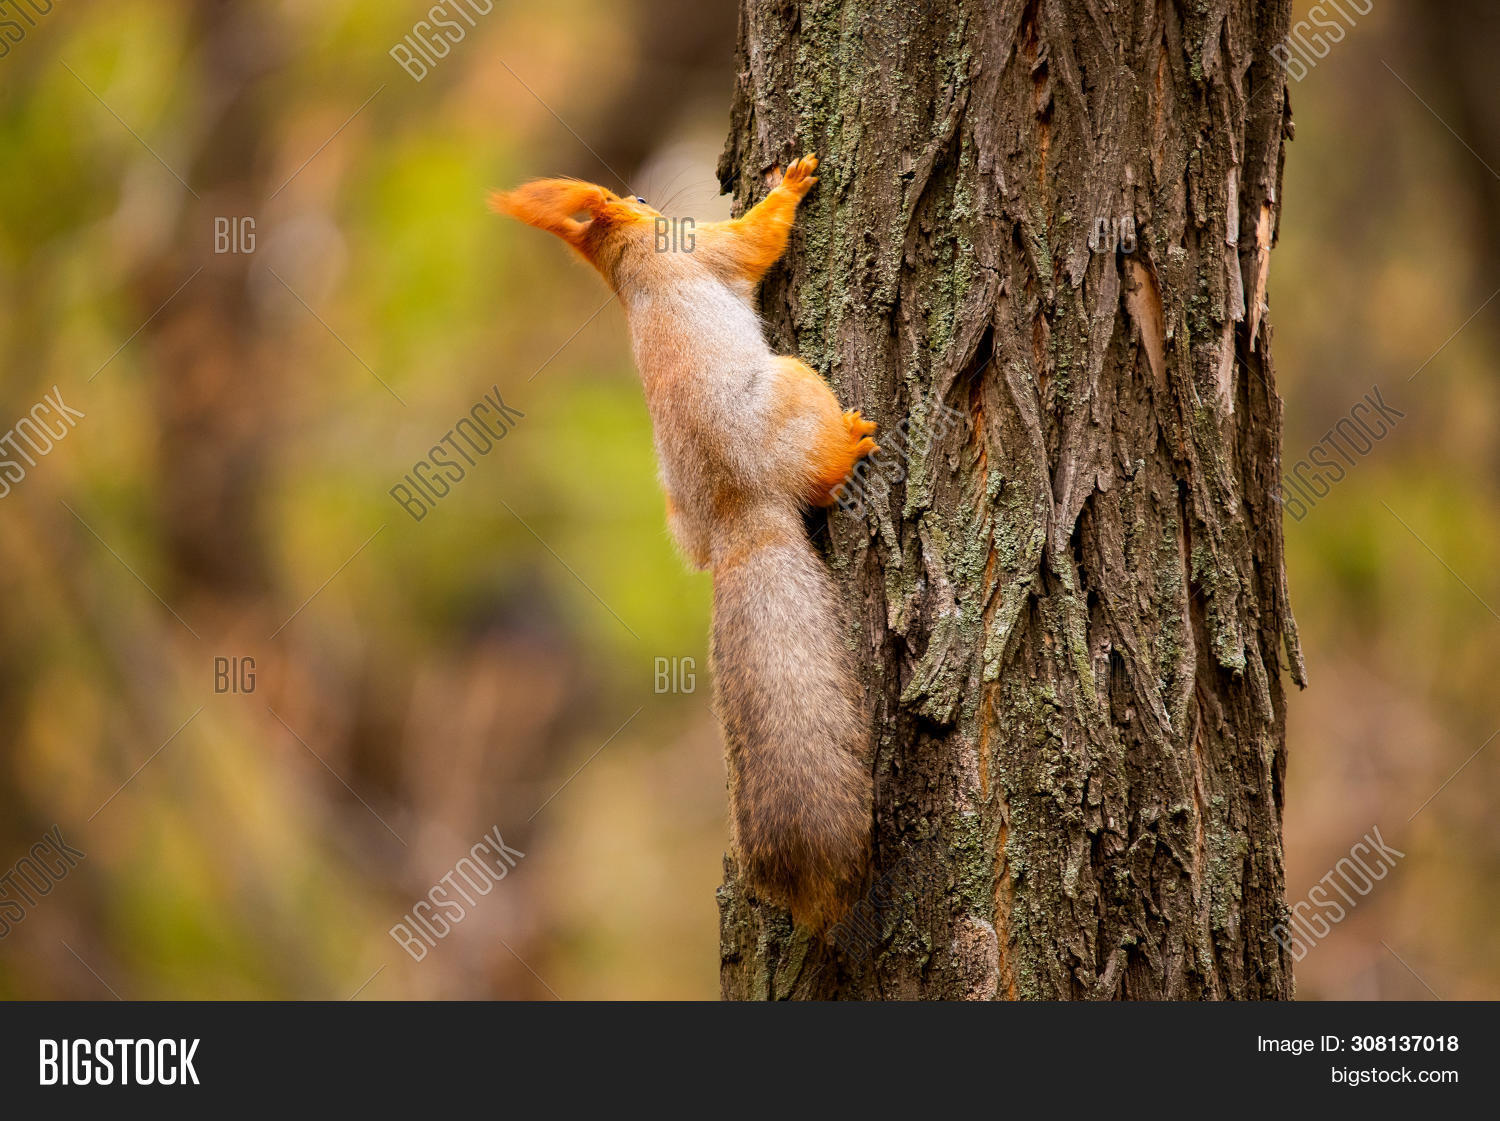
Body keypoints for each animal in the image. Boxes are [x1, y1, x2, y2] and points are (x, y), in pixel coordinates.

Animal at [490, 156, 875, 928]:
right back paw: (849, 447)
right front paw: (792, 183)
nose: (643, 193)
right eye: (627, 201)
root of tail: (739, 521)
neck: (626, 262)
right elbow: (759, 240)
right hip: (793, 388)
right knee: (818, 474)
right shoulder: (706, 248)